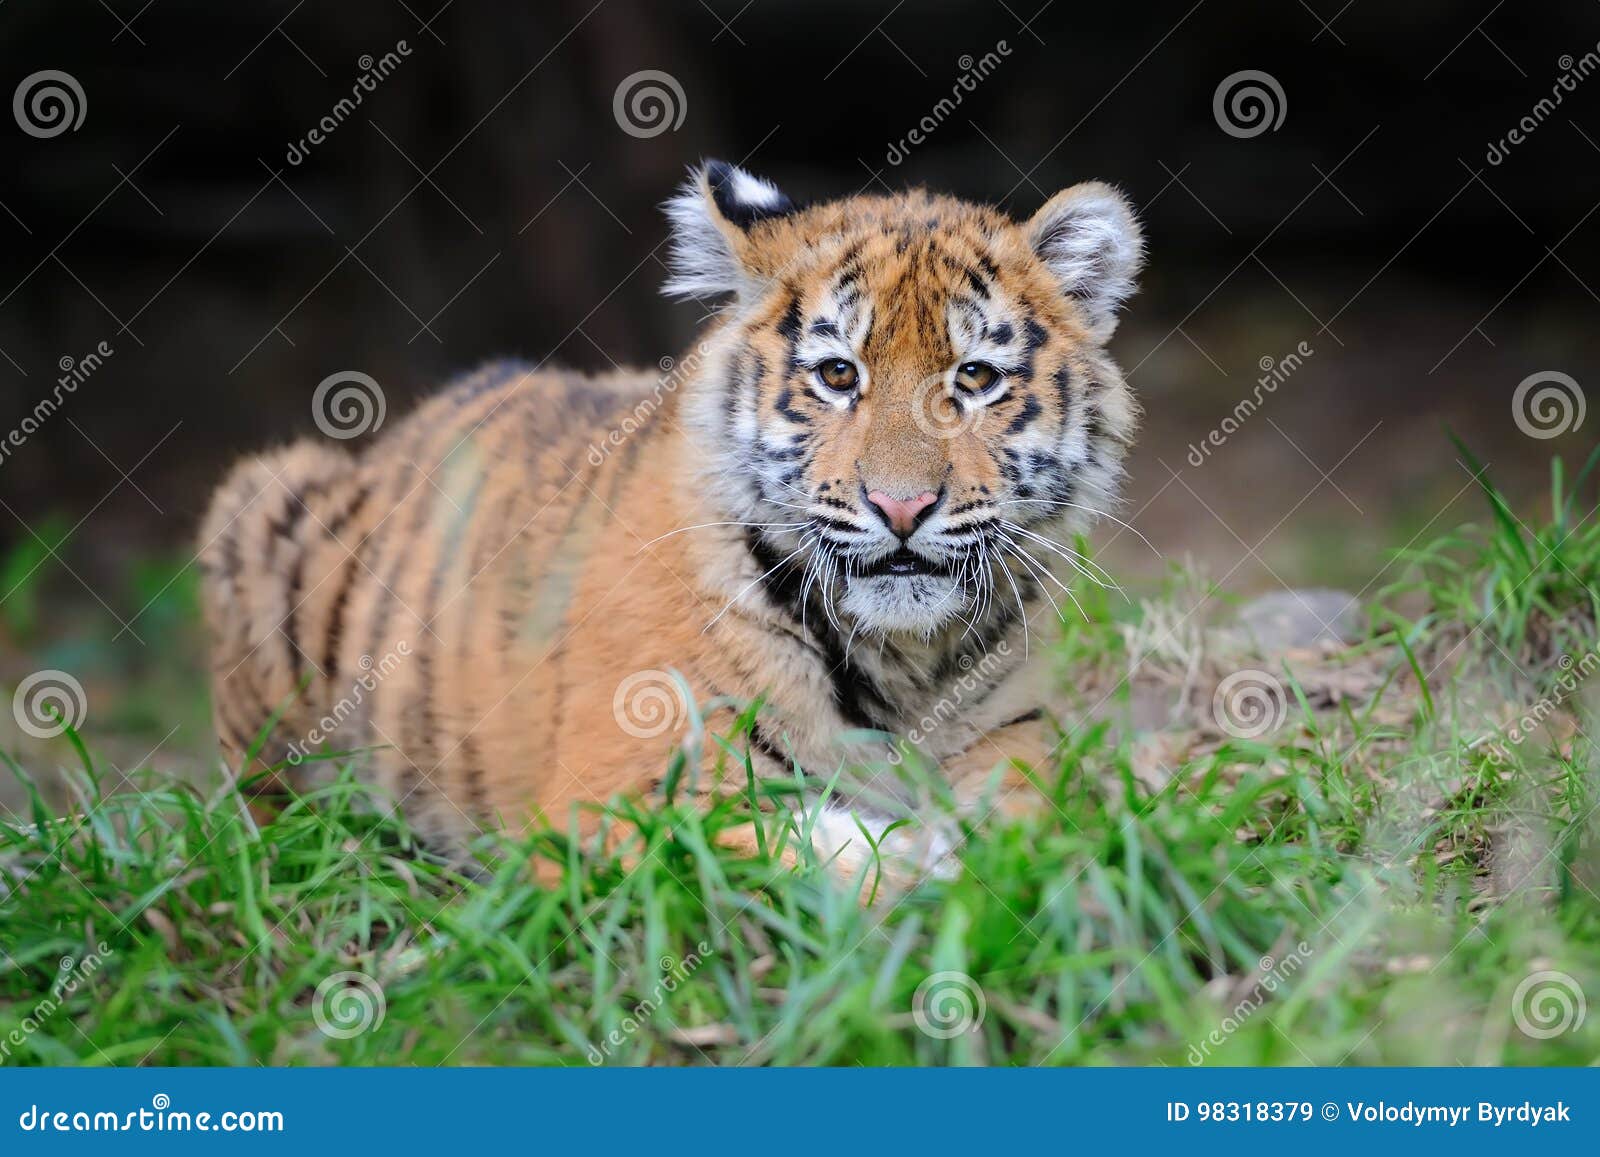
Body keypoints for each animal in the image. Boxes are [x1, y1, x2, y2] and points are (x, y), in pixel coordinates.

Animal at [198, 159, 1144, 879]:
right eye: (838, 374)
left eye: (974, 378)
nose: (901, 505)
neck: (901, 661)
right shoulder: (610, 790)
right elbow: (778, 853)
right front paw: (916, 864)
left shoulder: (1020, 737)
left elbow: (1031, 811)